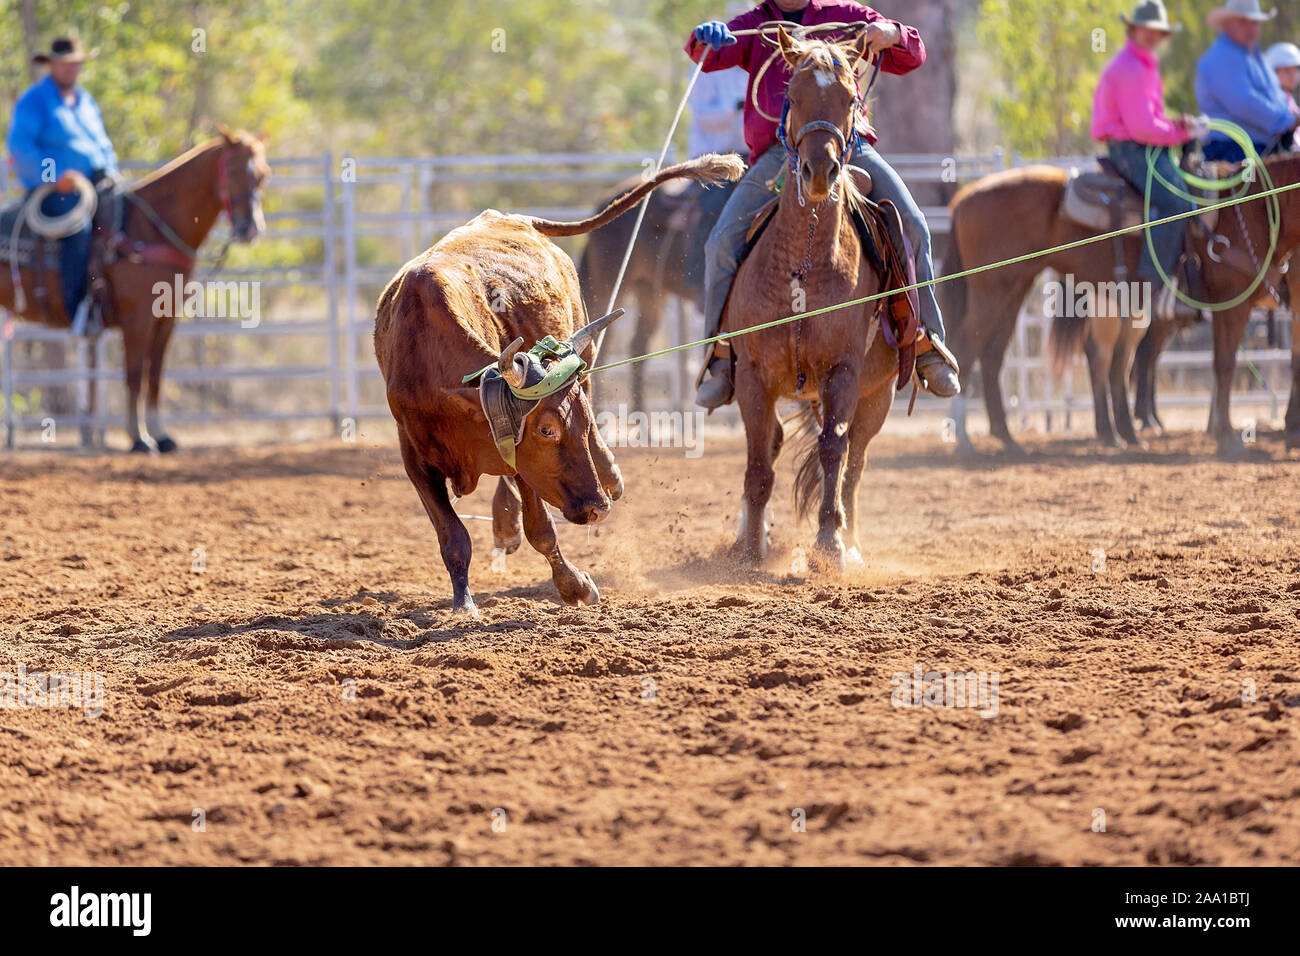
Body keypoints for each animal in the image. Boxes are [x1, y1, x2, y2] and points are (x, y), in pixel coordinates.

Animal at [374, 153, 745, 615]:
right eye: (547, 430)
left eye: (578, 426)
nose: (598, 508)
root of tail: (516, 219)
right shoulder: (417, 457)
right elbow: (453, 537)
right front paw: (464, 601)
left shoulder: (522, 455)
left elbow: (541, 528)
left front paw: (575, 586)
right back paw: (508, 522)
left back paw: (606, 477)